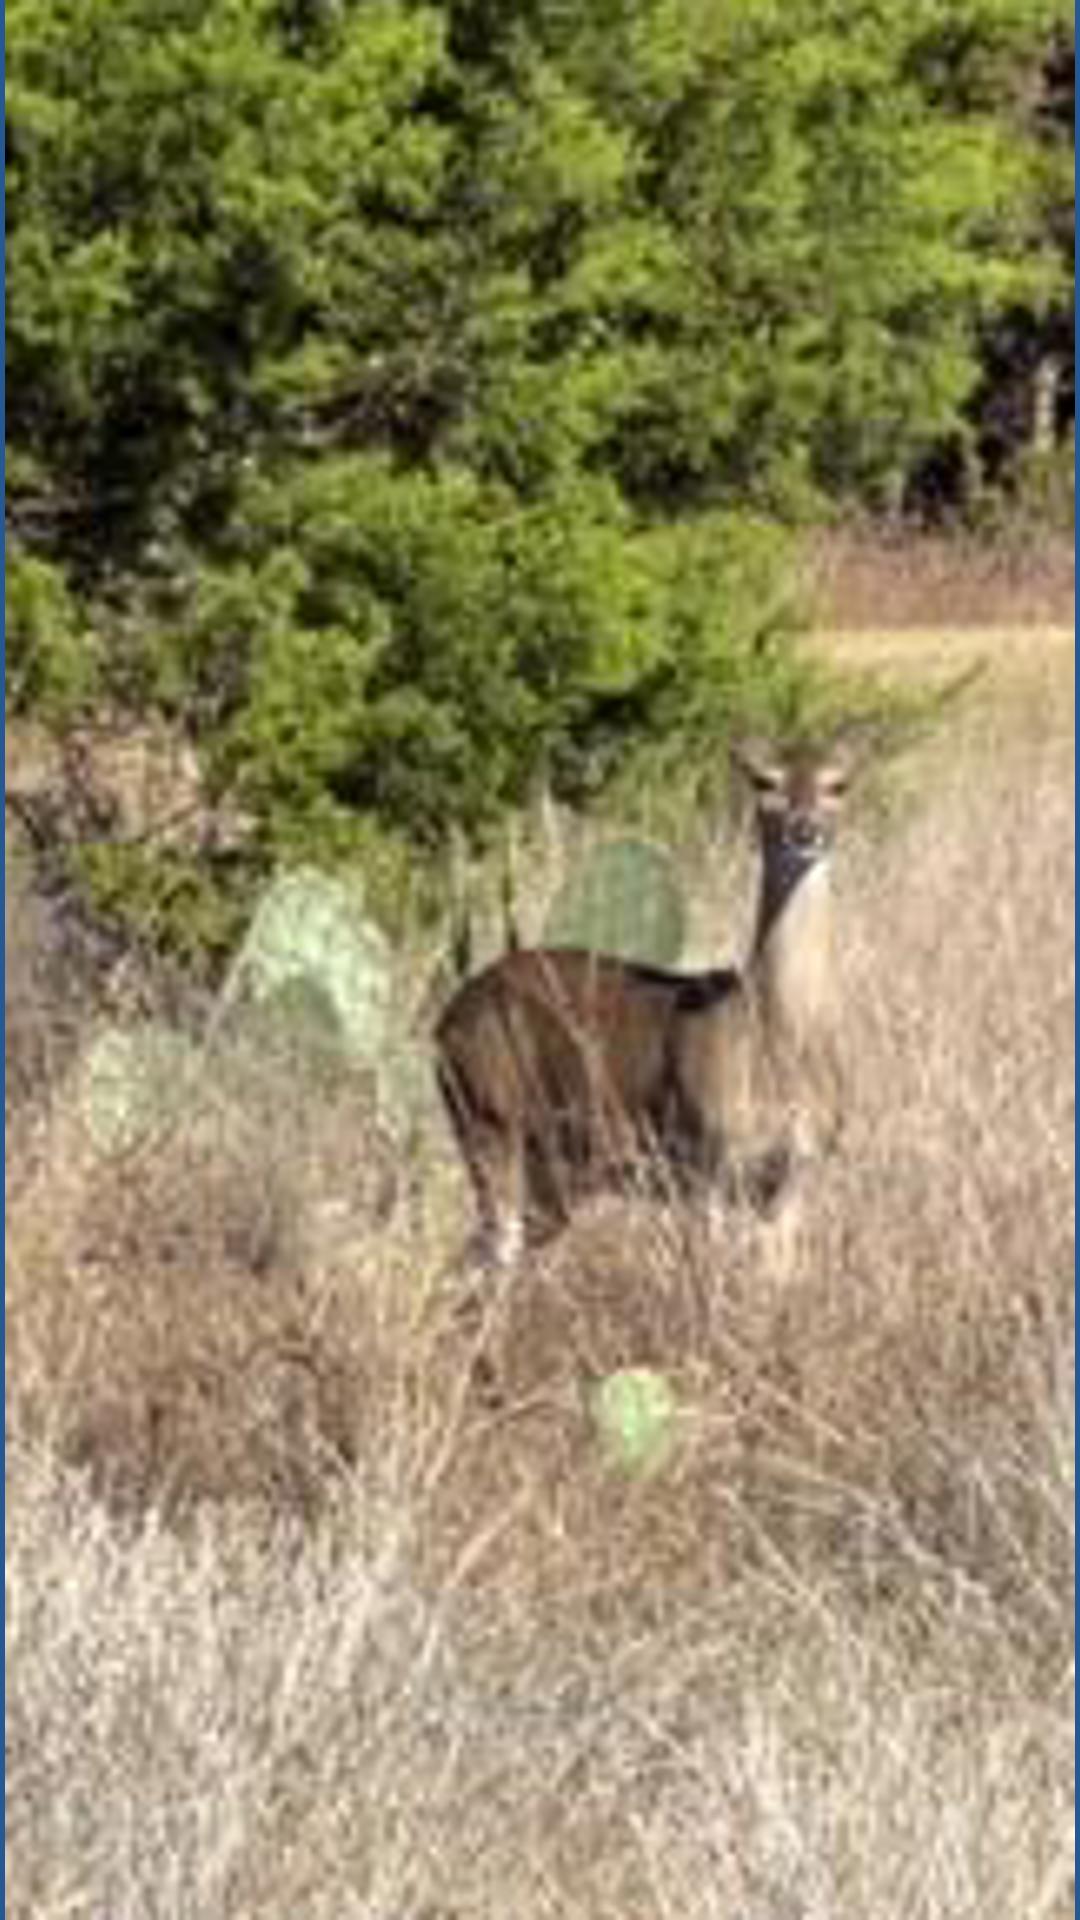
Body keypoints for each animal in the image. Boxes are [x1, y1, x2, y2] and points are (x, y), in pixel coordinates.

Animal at [434, 732, 863, 1280]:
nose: (805, 830)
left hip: (550, 1172)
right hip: (487, 1121)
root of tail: (443, 1024)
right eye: (765, 781)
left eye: (838, 784)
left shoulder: (795, 1174)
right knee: (488, 1258)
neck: (774, 1035)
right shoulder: (706, 1160)